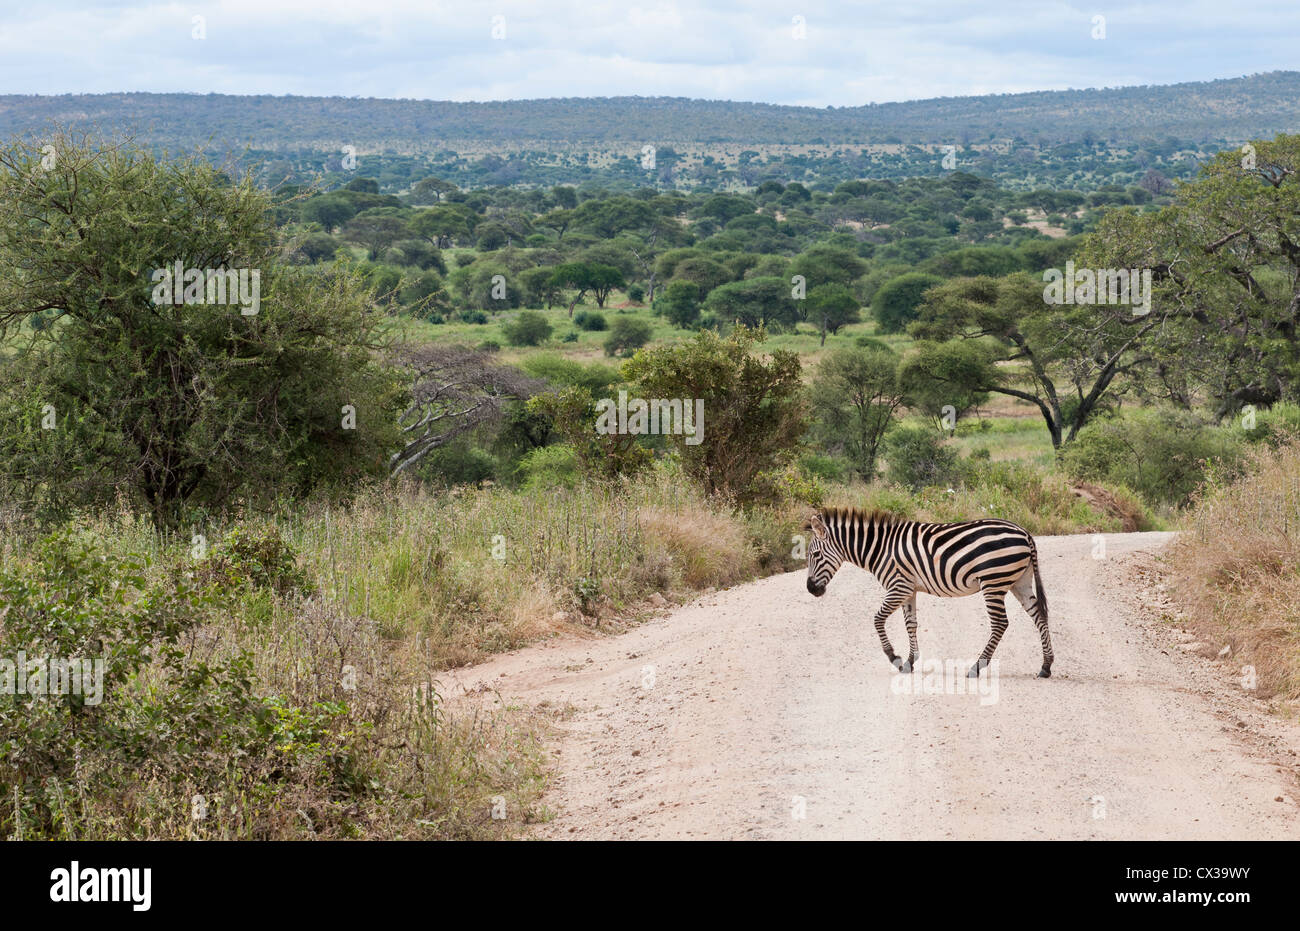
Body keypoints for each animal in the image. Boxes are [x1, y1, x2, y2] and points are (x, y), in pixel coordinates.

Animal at [803, 507, 1053, 678]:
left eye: (814, 555)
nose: (811, 590)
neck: (881, 549)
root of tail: (1025, 533)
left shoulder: (898, 586)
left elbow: (877, 619)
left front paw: (894, 657)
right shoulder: (909, 589)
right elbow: (910, 624)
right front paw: (910, 661)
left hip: (994, 582)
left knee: (1001, 623)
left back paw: (976, 667)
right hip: (1019, 582)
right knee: (1039, 616)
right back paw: (1046, 666)